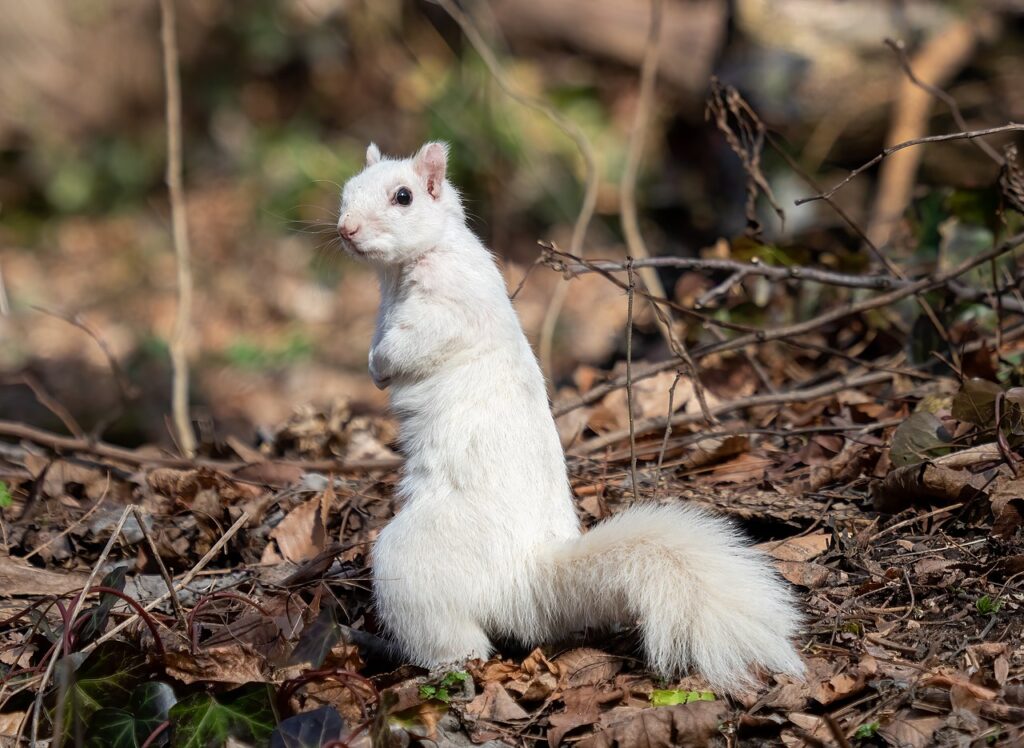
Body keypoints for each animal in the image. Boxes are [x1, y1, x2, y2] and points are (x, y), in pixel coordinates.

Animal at [336, 141, 805, 693]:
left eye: (403, 197)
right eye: (346, 190)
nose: (346, 229)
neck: (402, 272)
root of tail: (525, 583)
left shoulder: (452, 310)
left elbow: (417, 342)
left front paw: (383, 364)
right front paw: (373, 366)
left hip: (413, 562)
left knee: (461, 646)